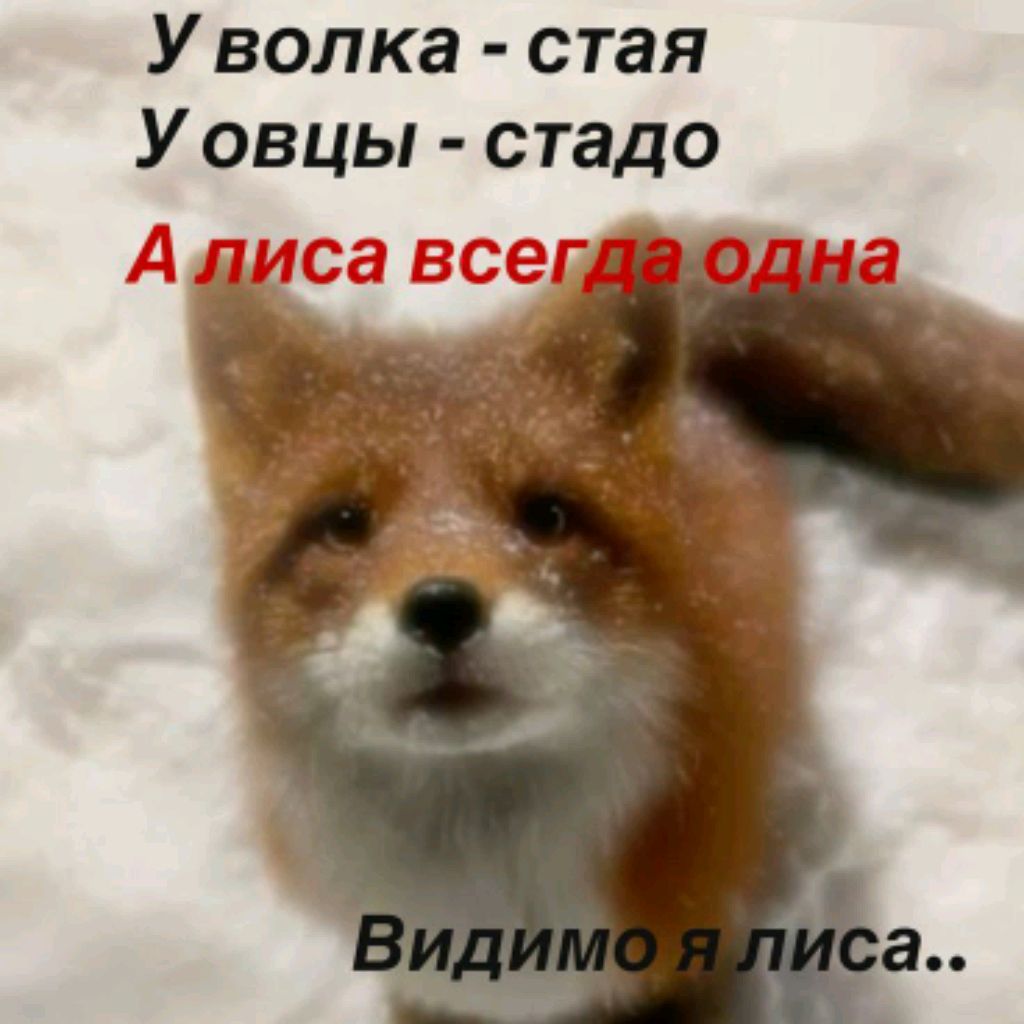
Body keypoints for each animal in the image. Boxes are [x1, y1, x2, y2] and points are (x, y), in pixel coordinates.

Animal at [186, 214, 1024, 1024]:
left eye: (547, 515)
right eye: (344, 523)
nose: (443, 605)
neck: (492, 907)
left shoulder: (692, 960)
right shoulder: (427, 990)